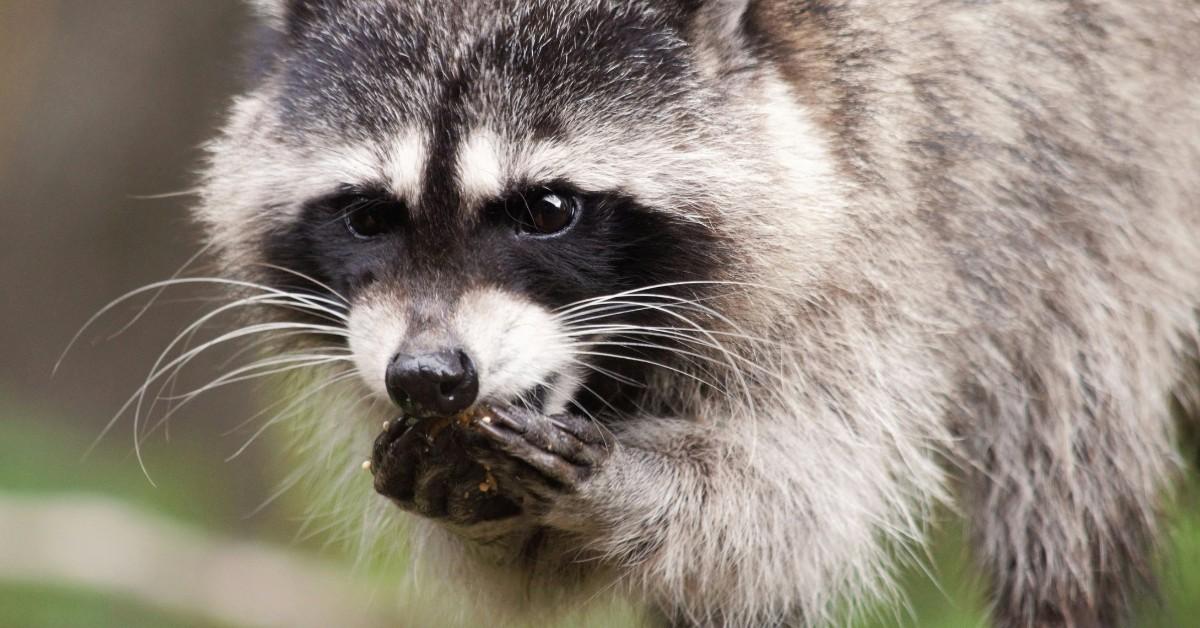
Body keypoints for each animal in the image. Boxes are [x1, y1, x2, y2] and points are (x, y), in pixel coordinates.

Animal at [190, 0, 1200, 626]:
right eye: (367, 215)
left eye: (547, 209)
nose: (430, 378)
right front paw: (487, 514)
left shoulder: (893, 198)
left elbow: (793, 502)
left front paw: (629, 484)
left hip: (1099, 165)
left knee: (1064, 467)